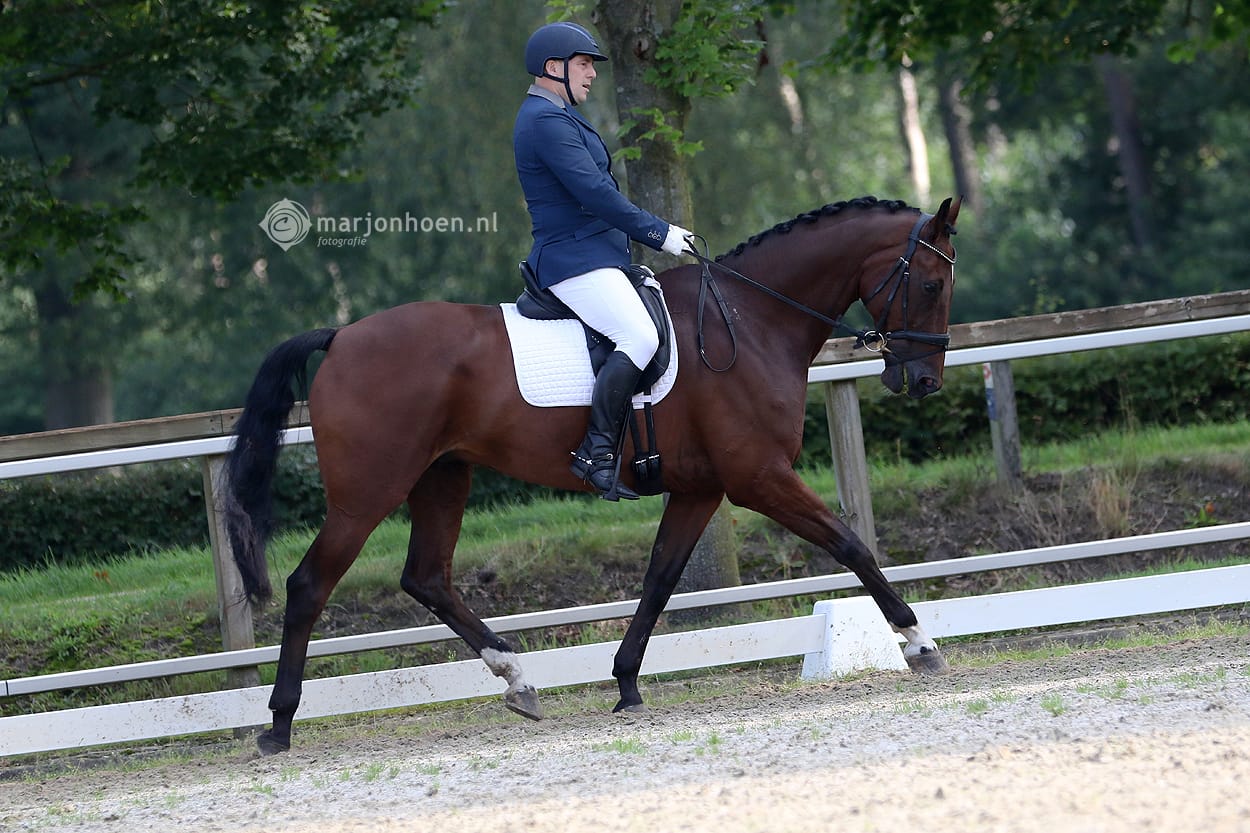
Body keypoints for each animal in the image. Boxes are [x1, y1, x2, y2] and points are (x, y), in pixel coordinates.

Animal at [223, 194, 961, 755]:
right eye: (930, 284)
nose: (926, 381)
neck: (750, 321)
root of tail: (342, 337)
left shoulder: (701, 488)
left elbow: (660, 579)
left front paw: (627, 683)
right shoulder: (758, 476)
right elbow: (849, 543)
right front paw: (919, 641)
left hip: (443, 476)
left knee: (427, 577)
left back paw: (516, 679)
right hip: (367, 493)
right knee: (309, 585)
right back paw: (278, 725)